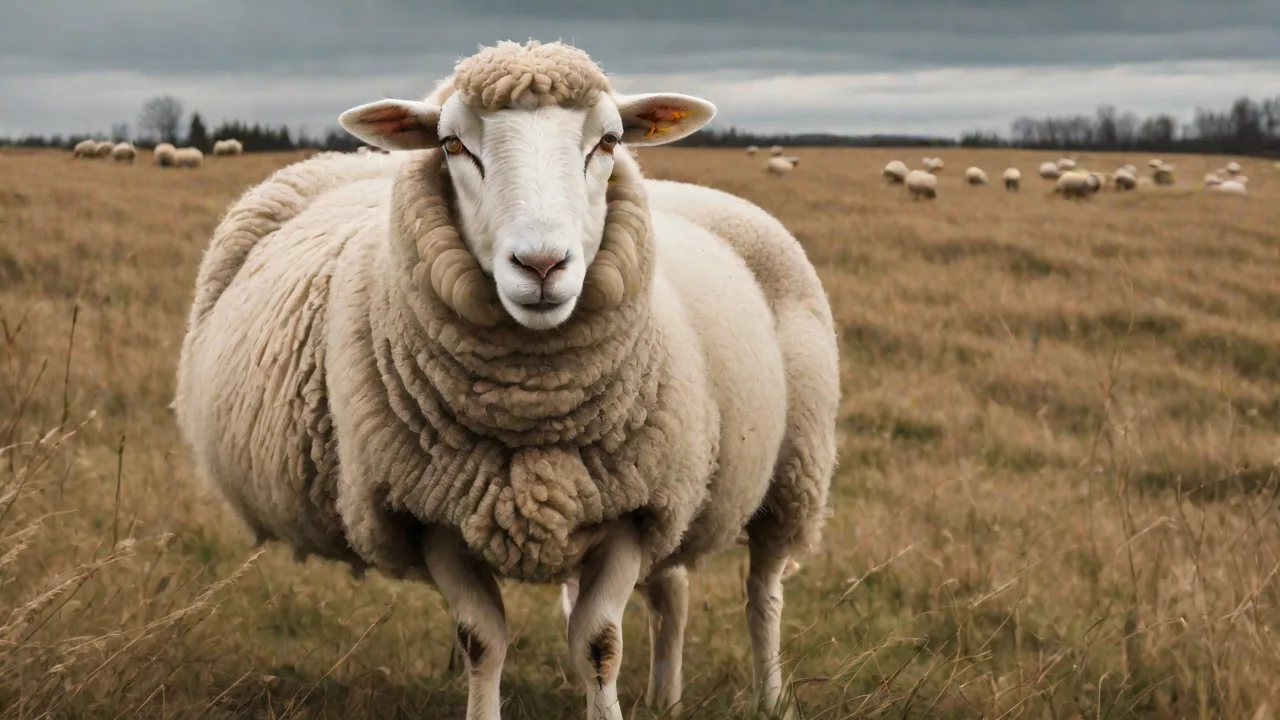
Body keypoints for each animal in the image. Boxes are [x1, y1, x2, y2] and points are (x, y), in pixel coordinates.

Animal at [174, 38, 838, 720]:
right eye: (450, 144)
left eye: (609, 140)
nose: (541, 265)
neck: (531, 405)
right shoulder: (431, 514)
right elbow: (481, 640)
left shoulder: (637, 507)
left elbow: (599, 642)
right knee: (672, 590)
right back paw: (666, 698)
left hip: (793, 467)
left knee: (763, 591)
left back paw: (771, 696)